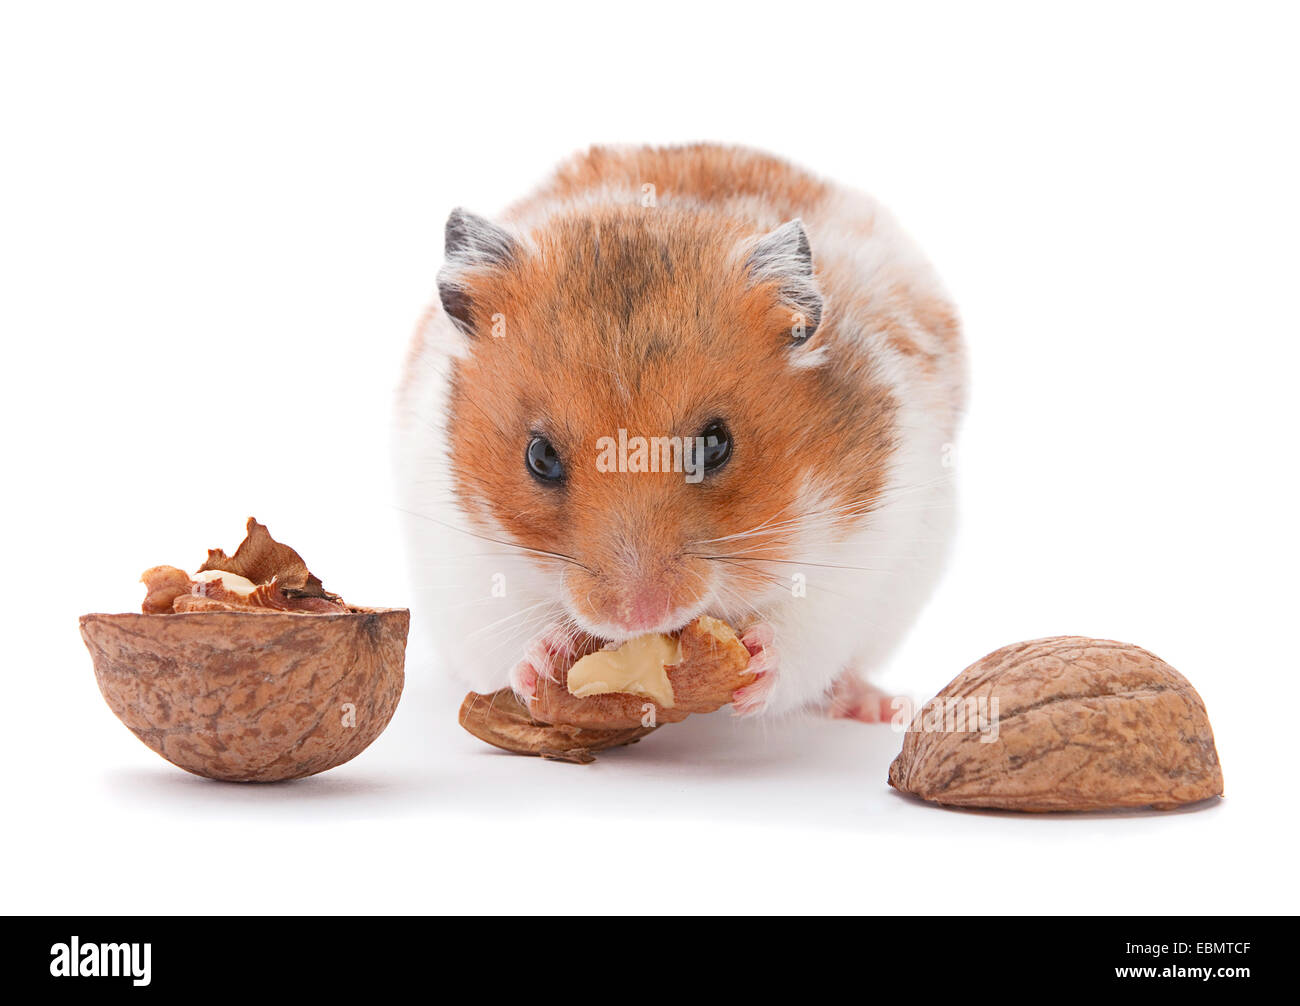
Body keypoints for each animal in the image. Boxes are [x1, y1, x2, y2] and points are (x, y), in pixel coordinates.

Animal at [395, 144, 964, 720]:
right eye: (540, 457)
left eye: (715, 445)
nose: (640, 617)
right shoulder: (460, 557)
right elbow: (506, 633)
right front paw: (542, 661)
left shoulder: (862, 547)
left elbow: (802, 636)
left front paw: (760, 660)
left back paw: (878, 707)